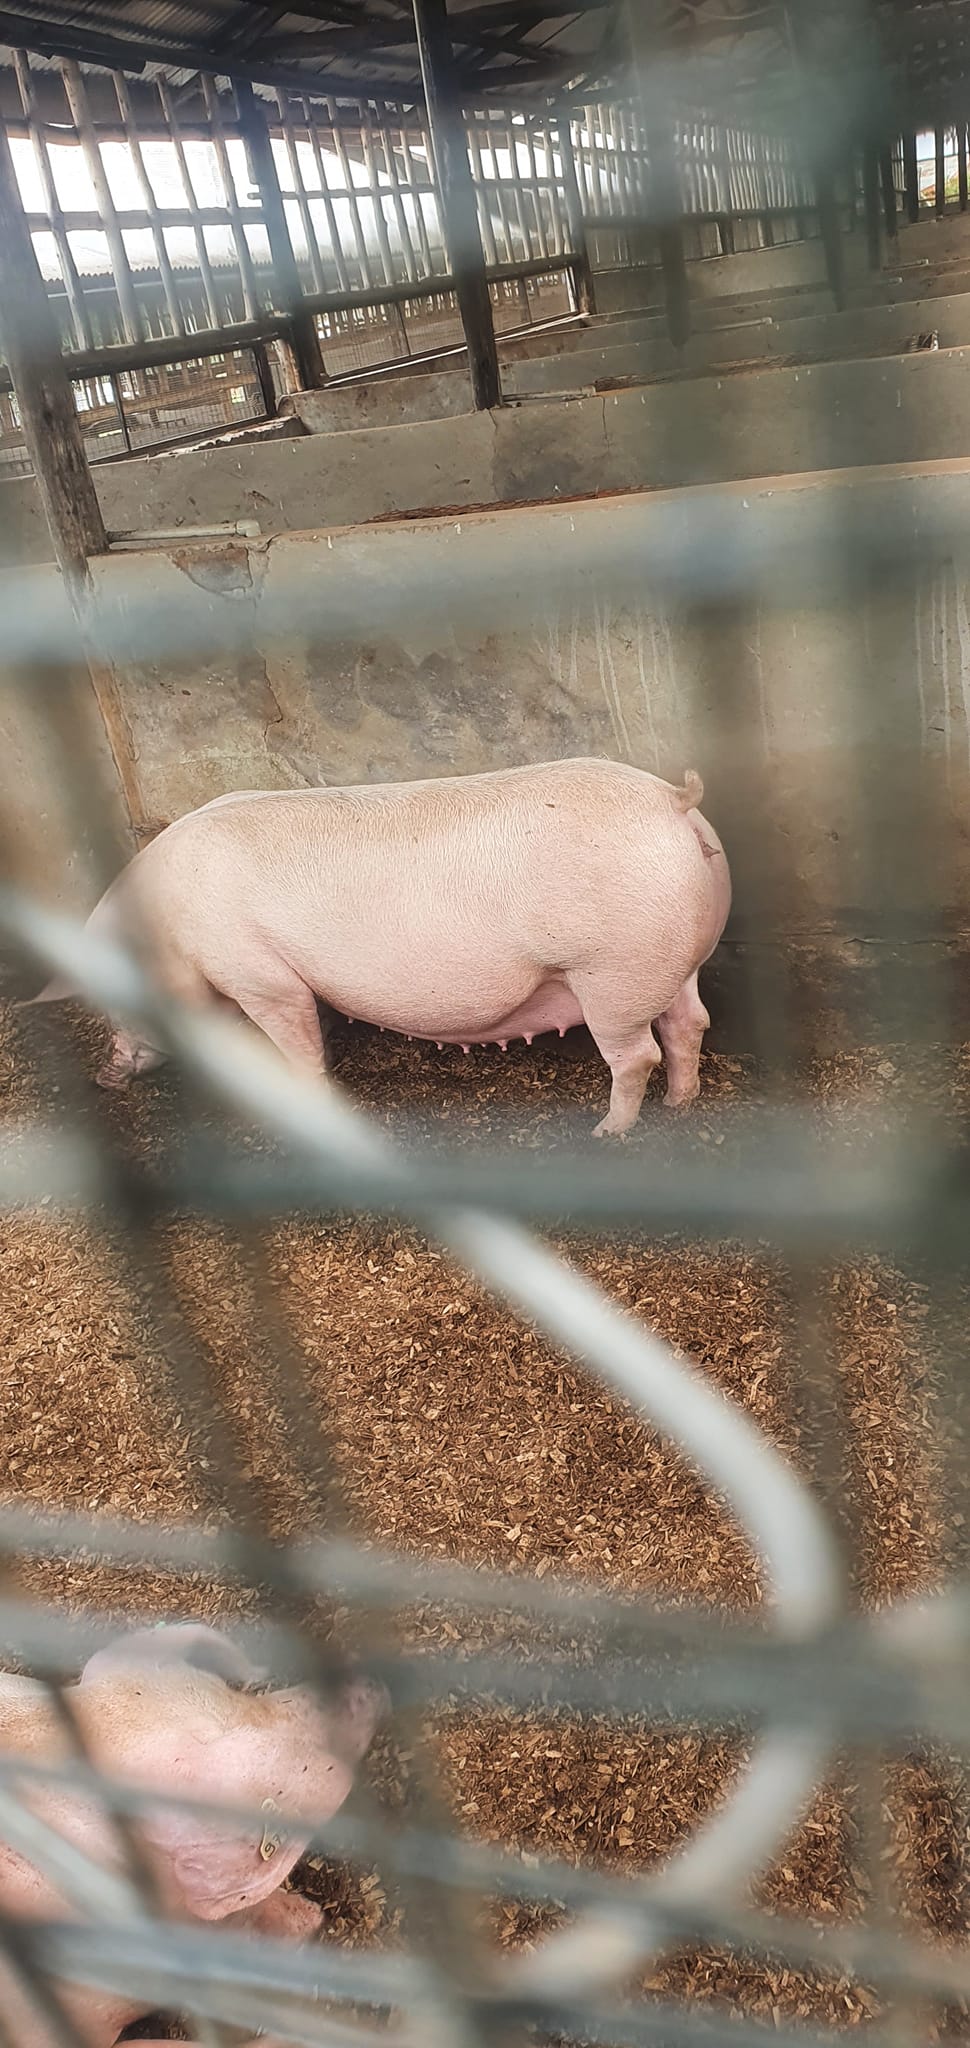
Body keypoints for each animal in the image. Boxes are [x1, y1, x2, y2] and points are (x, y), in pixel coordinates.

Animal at [32, 757, 730, 1137]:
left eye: (107, 998)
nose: (100, 1077)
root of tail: (673, 800)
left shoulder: (254, 972)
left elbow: (291, 1032)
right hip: (677, 961)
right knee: (689, 1023)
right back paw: (682, 1103)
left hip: (610, 972)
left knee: (637, 1054)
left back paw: (608, 1131)